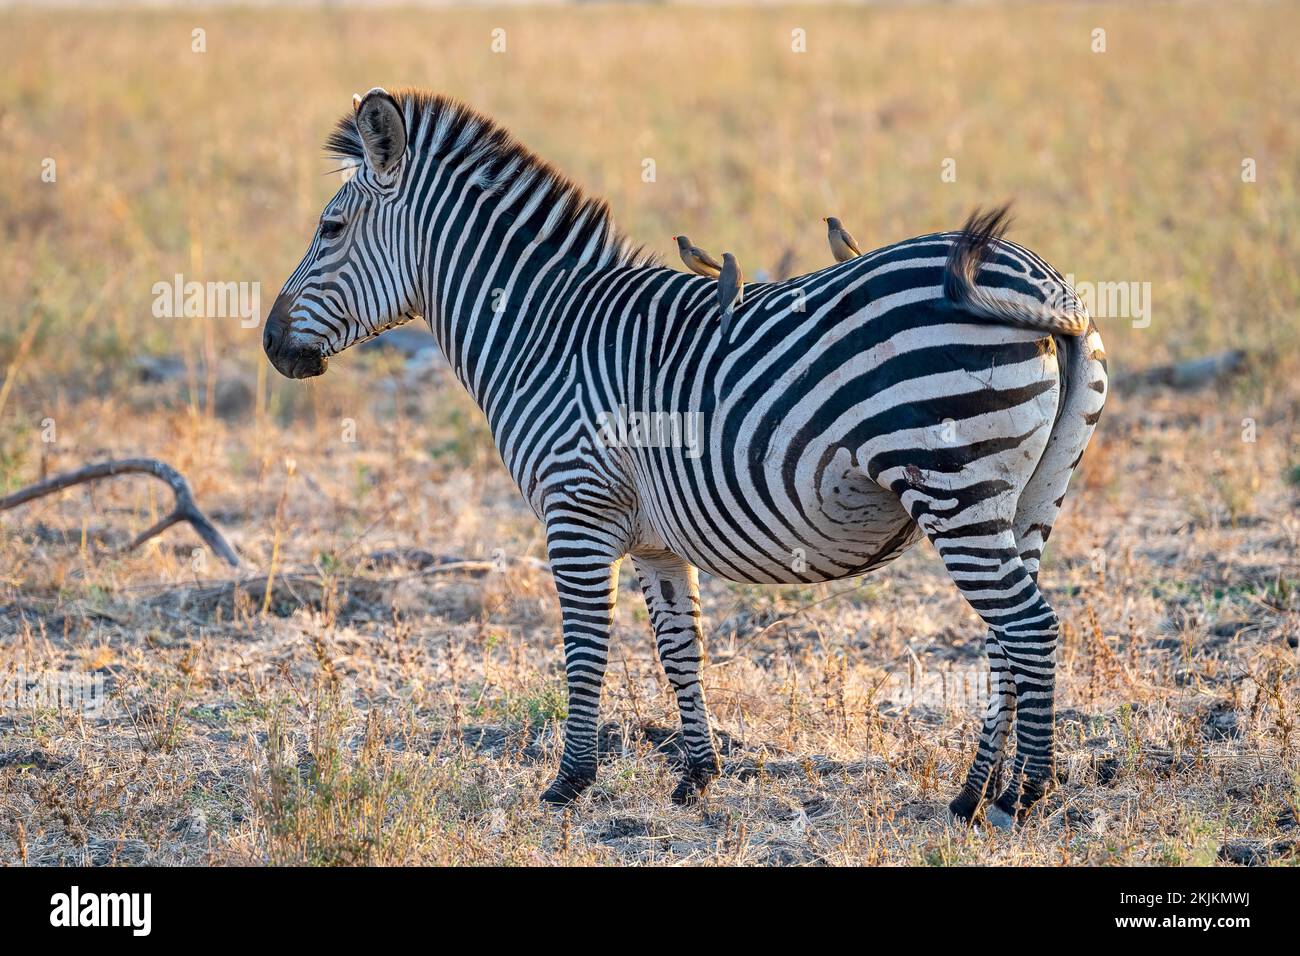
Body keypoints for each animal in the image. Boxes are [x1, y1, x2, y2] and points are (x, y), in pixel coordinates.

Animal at [263, 88, 1108, 828]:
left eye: (329, 229)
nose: (271, 345)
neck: (543, 332)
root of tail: (1043, 283)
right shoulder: (654, 538)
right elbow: (680, 646)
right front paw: (697, 775)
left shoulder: (576, 512)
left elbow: (584, 649)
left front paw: (569, 783)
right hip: (1027, 496)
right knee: (1006, 636)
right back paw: (974, 794)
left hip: (955, 479)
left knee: (1029, 627)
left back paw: (1026, 795)